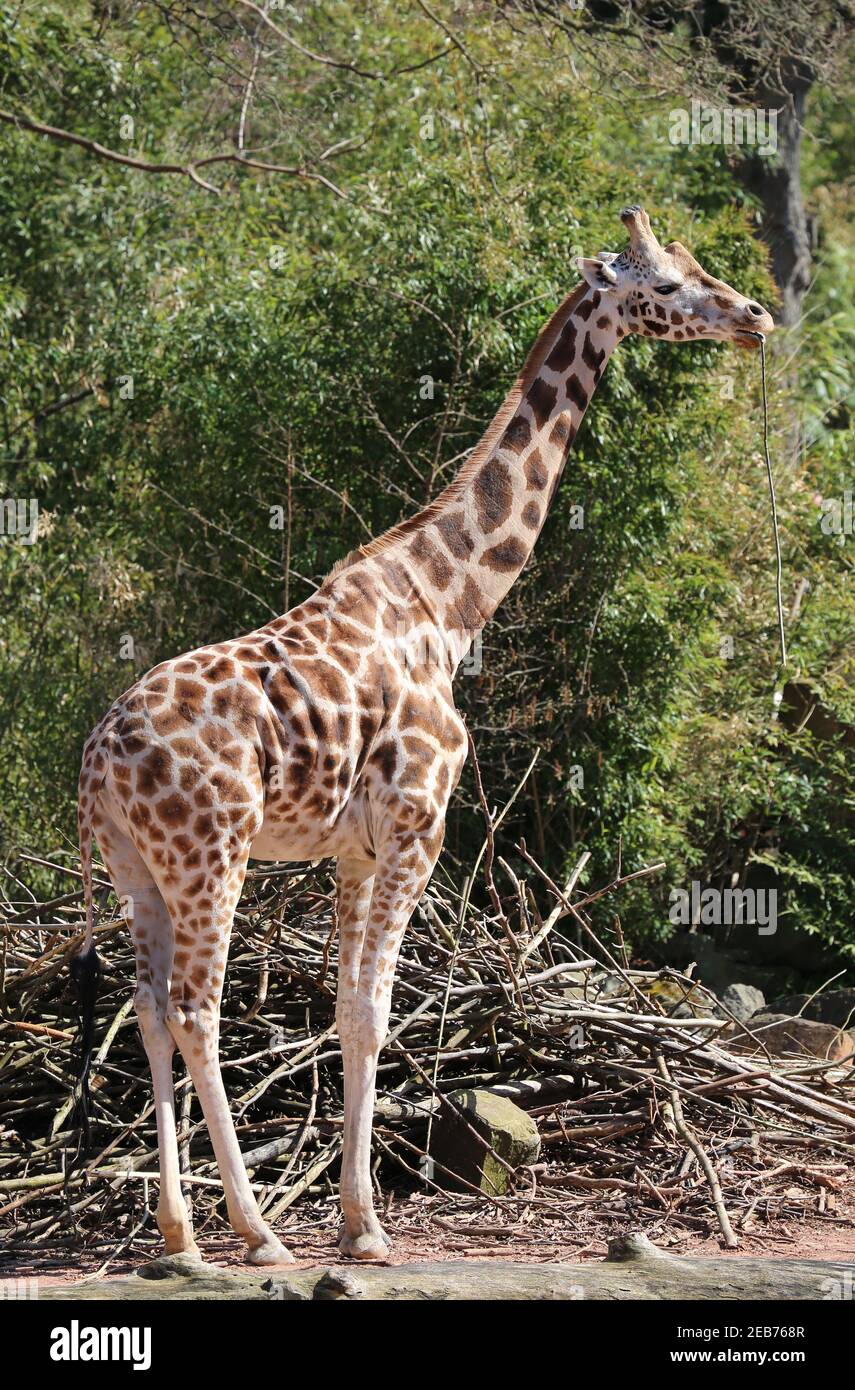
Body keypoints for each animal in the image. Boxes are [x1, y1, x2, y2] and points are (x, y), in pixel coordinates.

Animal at [75, 205, 774, 1264]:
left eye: (695, 264)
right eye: (662, 282)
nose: (752, 318)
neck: (449, 604)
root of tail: (98, 761)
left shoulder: (353, 849)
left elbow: (342, 1012)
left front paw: (352, 1216)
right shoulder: (420, 826)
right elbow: (374, 1013)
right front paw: (363, 1230)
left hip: (136, 866)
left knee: (150, 1009)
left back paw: (179, 1234)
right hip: (211, 855)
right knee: (196, 1009)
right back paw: (253, 1232)